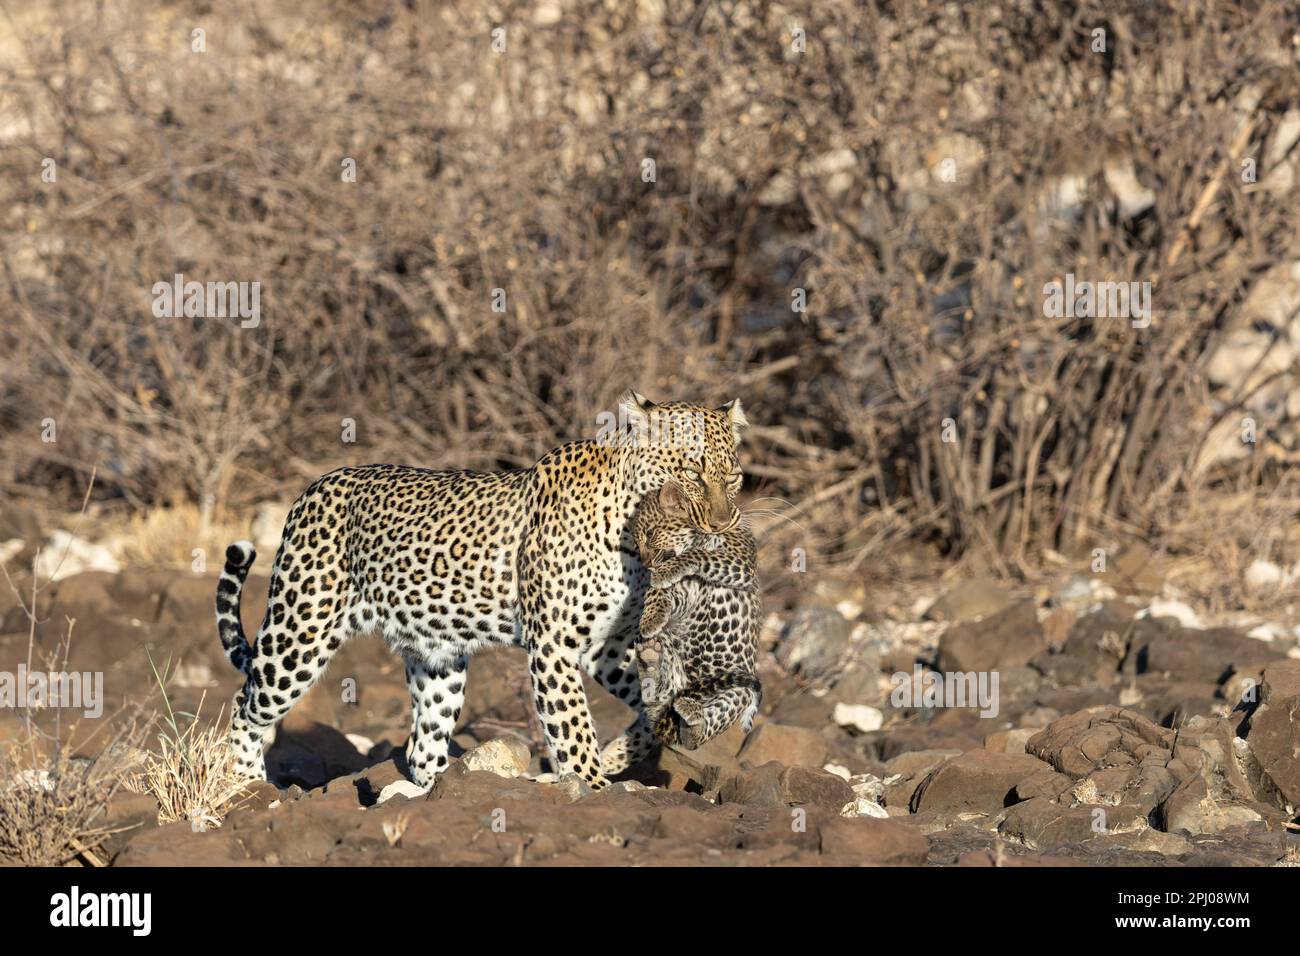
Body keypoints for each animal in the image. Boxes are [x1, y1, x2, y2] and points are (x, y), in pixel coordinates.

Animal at [215, 391, 747, 790]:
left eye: (735, 477)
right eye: (692, 471)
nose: (723, 525)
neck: (633, 539)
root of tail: (313, 486)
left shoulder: (609, 645)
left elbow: (654, 701)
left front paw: (624, 752)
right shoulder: (553, 644)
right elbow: (573, 725)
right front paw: (595, 787)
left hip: (439, 661)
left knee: (424, 745)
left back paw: (437, 792)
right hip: (299, 632)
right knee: (246, 706)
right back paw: (250, 787)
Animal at [630, 481, 761, 751]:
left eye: (651, 533)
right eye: (635, 546)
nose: (646, 565)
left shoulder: (739, 560)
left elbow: (701, 555)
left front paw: (664, 572)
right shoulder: (686, 591)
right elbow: (658, 592)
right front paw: (651, 618)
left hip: (739, 689)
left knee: (698, 734)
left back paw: (693, 721)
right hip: (669, 656)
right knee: (657, 696)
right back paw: (649, 659)